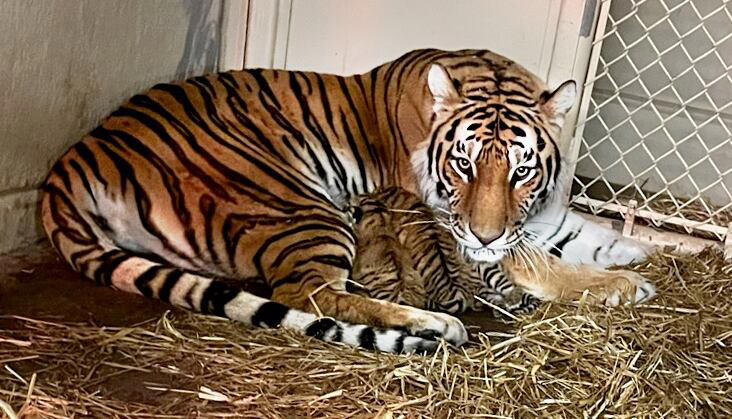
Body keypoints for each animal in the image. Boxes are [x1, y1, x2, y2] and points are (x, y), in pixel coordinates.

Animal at [41, 48, 656, 354]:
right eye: (463, 165)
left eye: (522, 171)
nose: (484, 236)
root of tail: (73, 161)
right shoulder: (452, 222)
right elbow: (546, 265)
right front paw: (623, 285)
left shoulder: (534, 213)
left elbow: (587, 232)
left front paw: (636, 256)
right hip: (302, 207)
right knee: (307, 294)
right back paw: (434, 324)